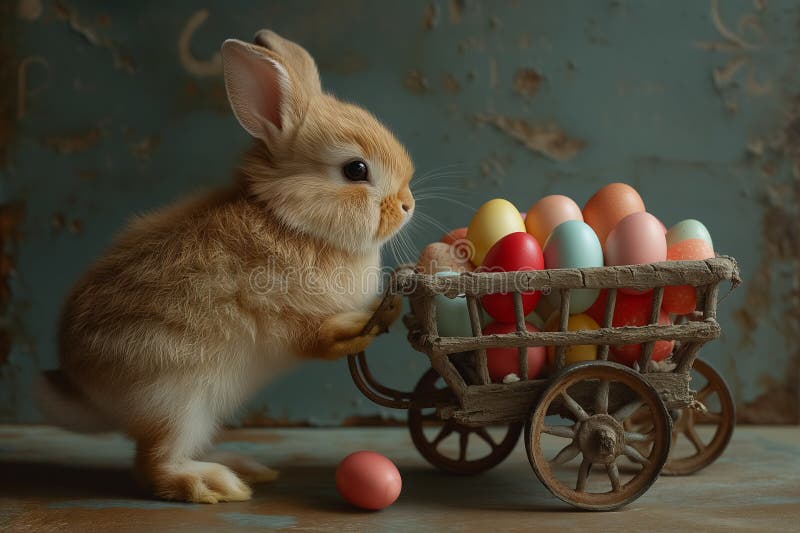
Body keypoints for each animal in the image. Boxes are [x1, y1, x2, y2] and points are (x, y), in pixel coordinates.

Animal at [36, 29, 414, 504]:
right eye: (356, 169)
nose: (408, 204)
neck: (293, 220)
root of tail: (90, 394)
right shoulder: (287, 315)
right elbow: (318, 337)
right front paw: (360, 325)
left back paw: (243, 466)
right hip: (176, 398)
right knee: (153, 464)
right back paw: (211, 482)